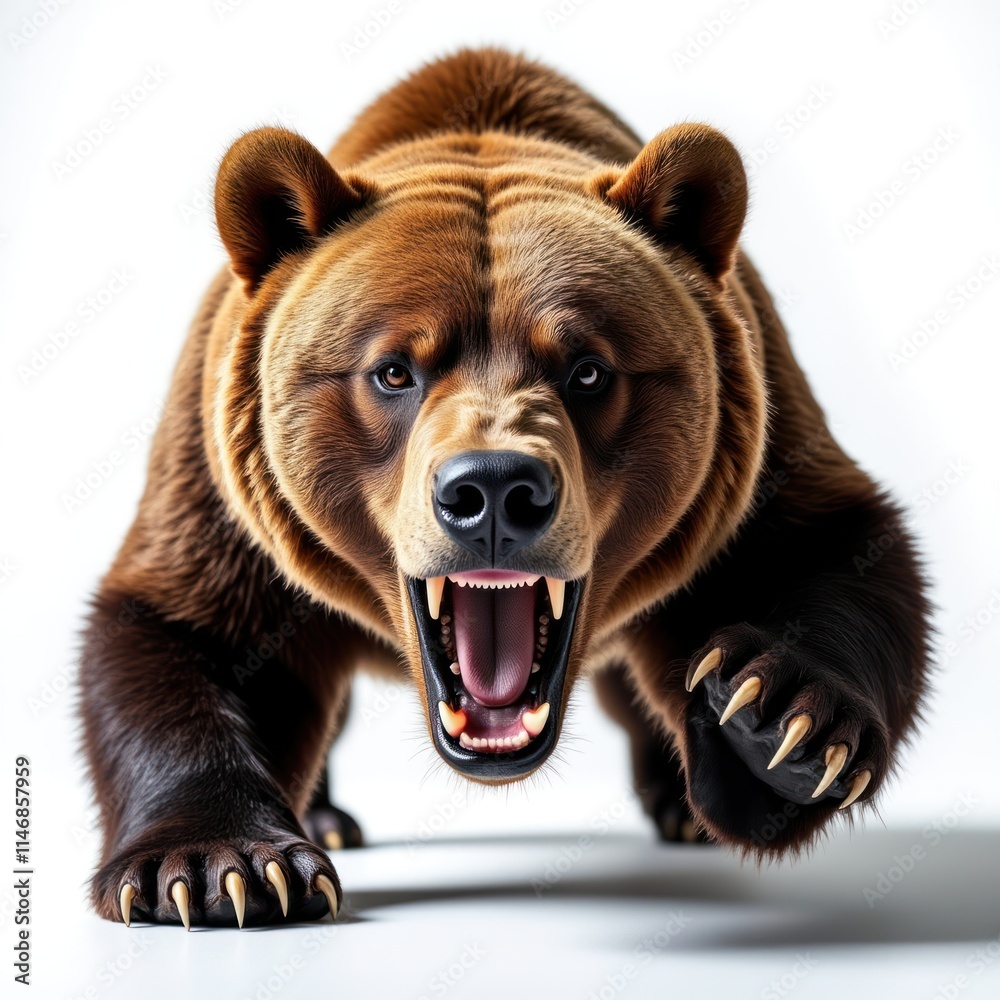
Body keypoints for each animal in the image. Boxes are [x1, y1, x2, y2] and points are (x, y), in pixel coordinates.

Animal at [79, 47, 929, 929]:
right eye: (393, 370)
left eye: (588, 369)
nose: (492, 491)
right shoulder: (226, 487)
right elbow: (189, 630)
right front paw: (223, 865)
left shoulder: (751, 437)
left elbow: (829, 545)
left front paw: (772, 722)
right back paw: (328, 816)